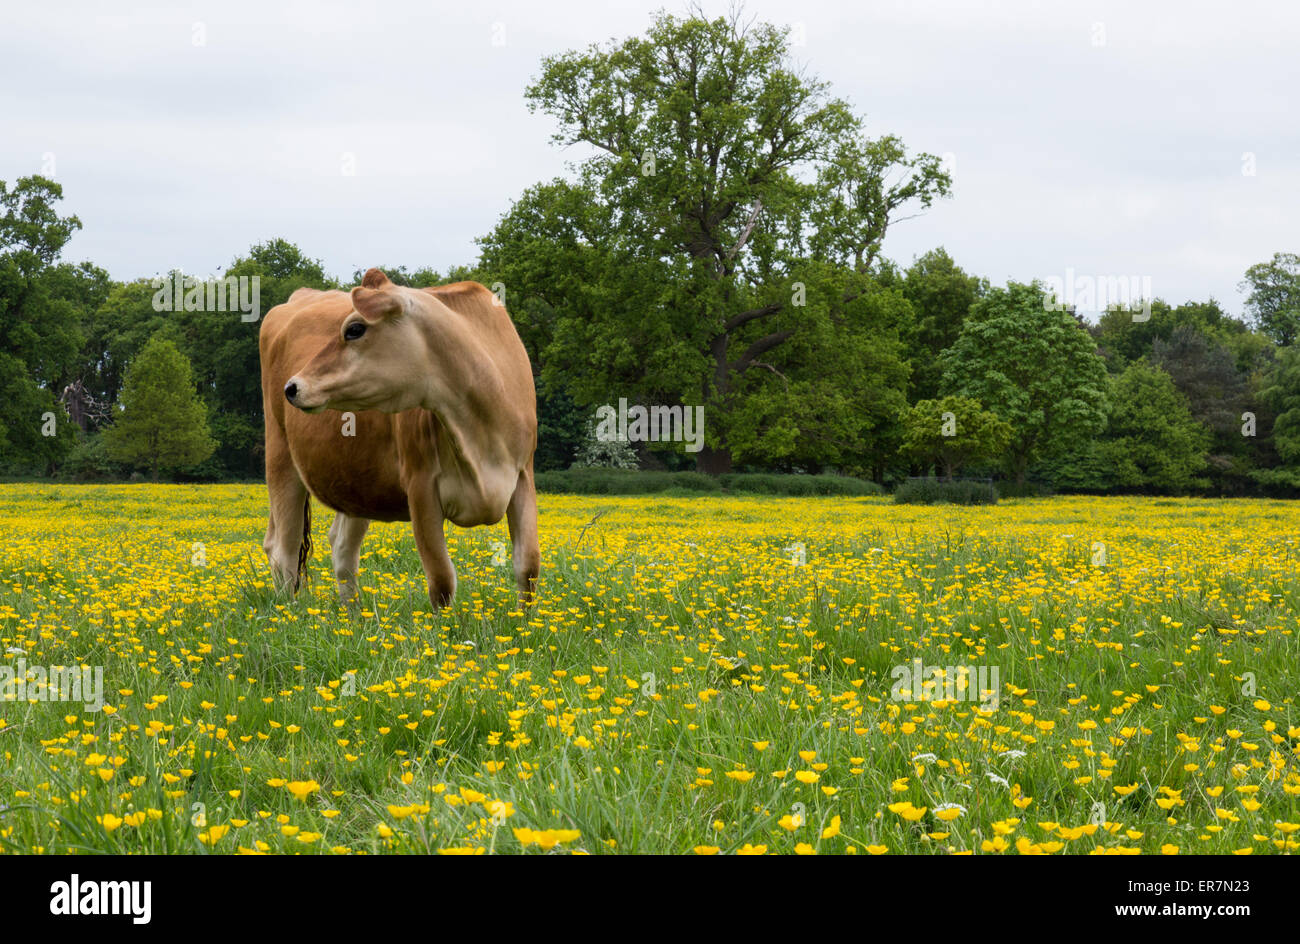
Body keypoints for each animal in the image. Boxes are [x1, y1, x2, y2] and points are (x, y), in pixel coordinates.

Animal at [258, 268, 539, 609]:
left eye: (354, 329)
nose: (293, 386)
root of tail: (302, 294)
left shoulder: (523, 476)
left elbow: (528, 568)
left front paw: (525, 621)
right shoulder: (420, 485)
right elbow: (441, 581)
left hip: (355, 480)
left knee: (341, 548)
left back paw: (354, 617)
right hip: (280, 458)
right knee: (282, 550)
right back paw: (288, 613)